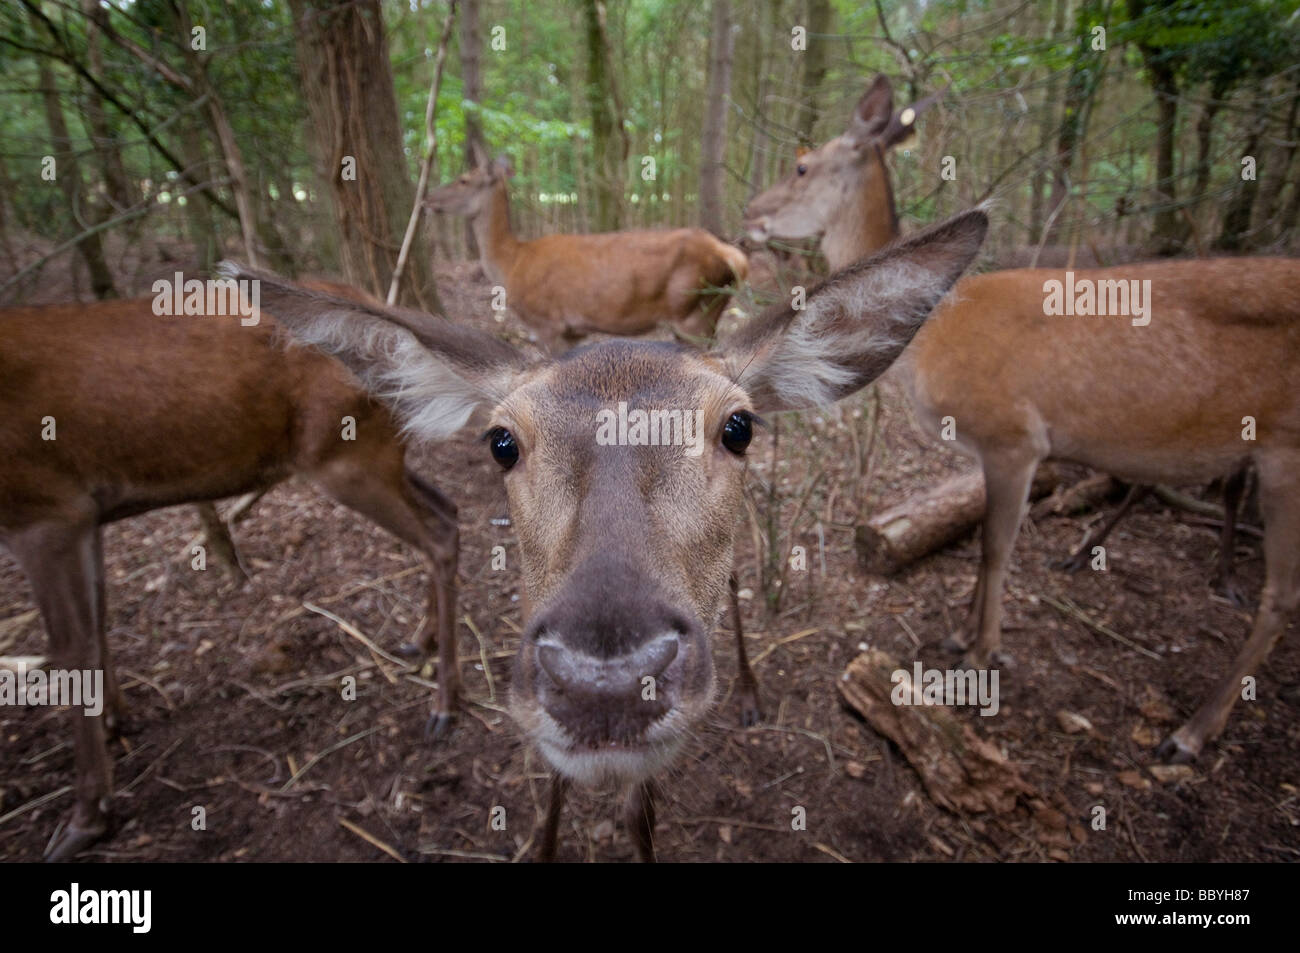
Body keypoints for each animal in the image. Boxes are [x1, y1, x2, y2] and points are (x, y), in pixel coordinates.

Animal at [0, 280, 461, 861]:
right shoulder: (87, 515)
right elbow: (98, 623)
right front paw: (116, 720)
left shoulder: (45, 510)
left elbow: (69, 647)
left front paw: (85, 819)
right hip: (380, 452)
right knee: (448, 510)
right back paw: (418, 640)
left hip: (347, 453)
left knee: (439, 533)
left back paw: (445, 704)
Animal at [426, 155, 750, 351]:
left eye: (464, 179)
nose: (427, 198)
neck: (512, 262)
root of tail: (734, 257)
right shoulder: (572, 331)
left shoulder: (547, 323)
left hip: (694, 312)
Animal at [745, 73, 1300, 764]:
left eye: (803, 164)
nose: (751, 213)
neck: (933, 340)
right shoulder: (986, 449)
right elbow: (985, 536)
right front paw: (960, 636)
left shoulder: (1013, 435)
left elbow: (996, 545)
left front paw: (981, 656)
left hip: (1287, 450)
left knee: (1282, 595)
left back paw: (1192, 731)